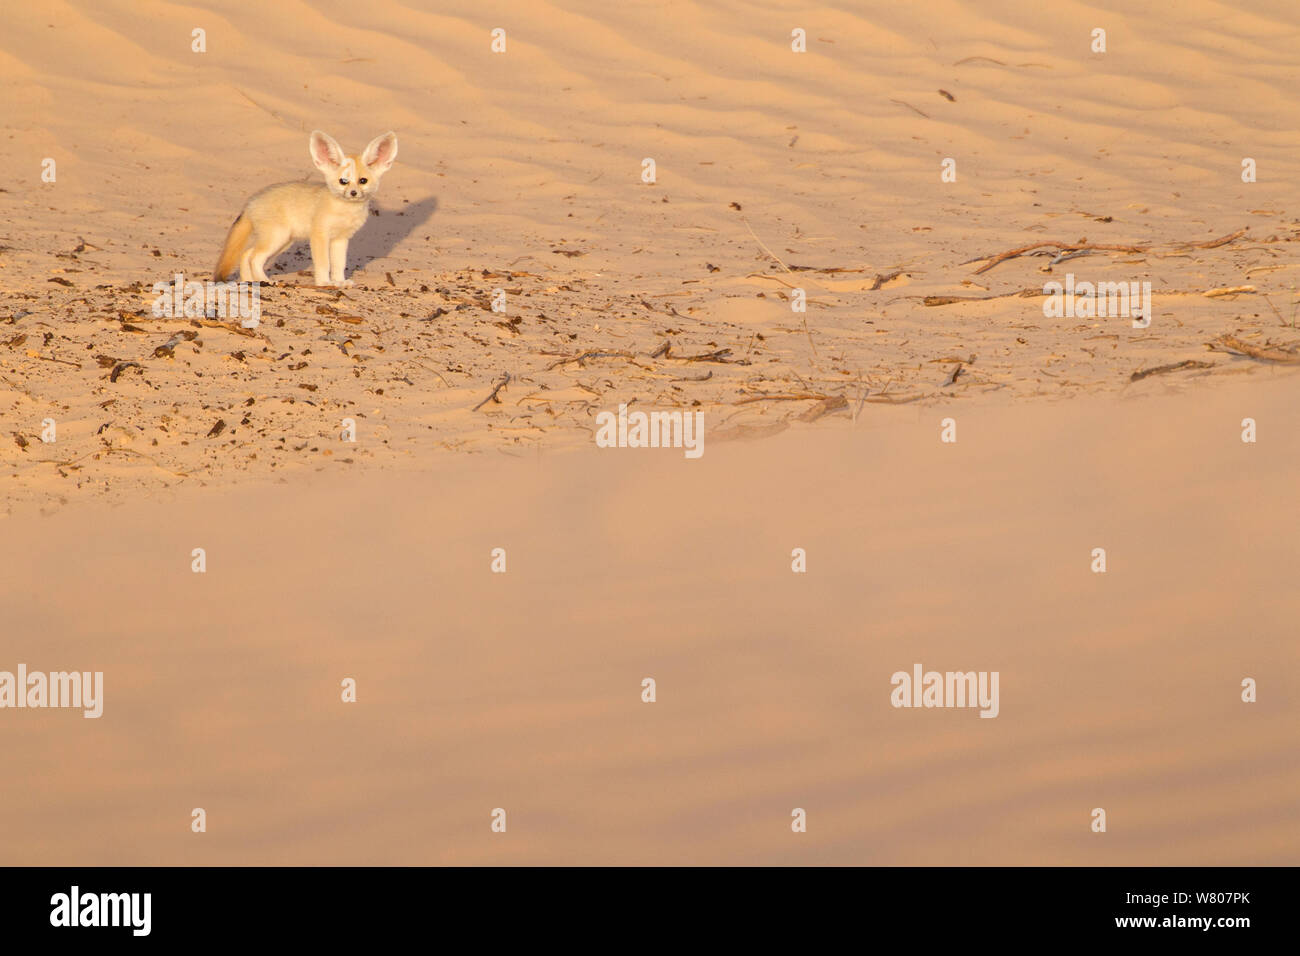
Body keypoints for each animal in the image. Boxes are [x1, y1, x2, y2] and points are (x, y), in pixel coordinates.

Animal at [214, 130, 398, 287]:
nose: (353, 193)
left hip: (282, 242)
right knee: (254, 258)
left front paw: (340, 282)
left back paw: (250, 281)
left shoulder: (341, 239)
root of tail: (251, 201)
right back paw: (266, 280)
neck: (345, 211)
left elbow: (339, 264)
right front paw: (324, 283)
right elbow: (324, 263)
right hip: (277, 238)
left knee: (246, 254)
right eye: (343, 181)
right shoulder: (319, 235)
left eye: (363, 181)